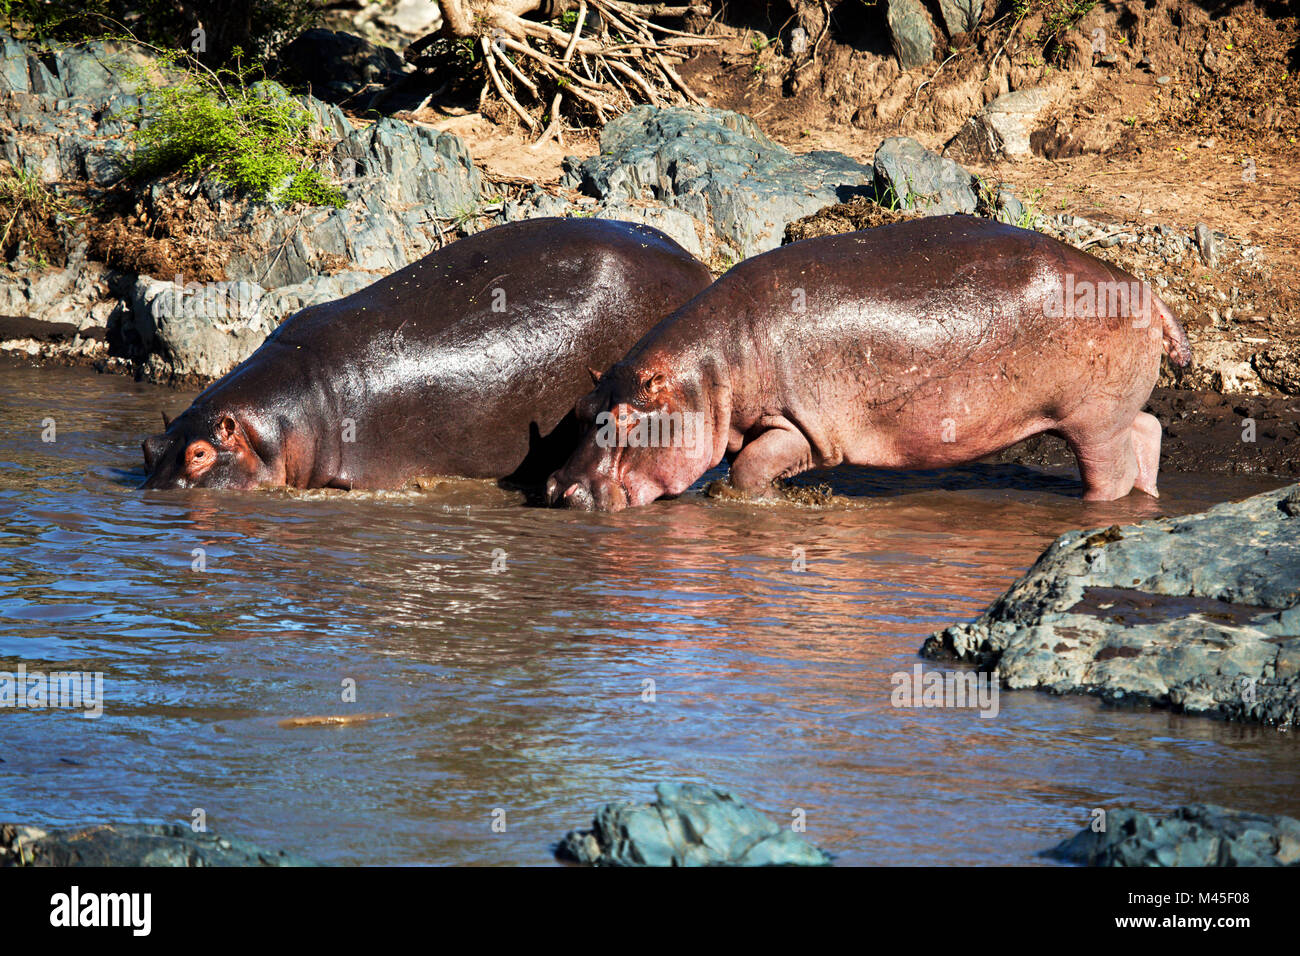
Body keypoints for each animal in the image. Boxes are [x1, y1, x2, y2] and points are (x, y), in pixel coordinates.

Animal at [546, 215, 1193, 511]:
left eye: (625, 419)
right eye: (579, 409)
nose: (557, 488)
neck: (707, 376)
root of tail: (1144, 289)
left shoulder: (802, 427)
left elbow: (751, 467)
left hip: (1091, 419)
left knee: (1109, 471)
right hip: (1113, 410)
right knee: (1148, 431)